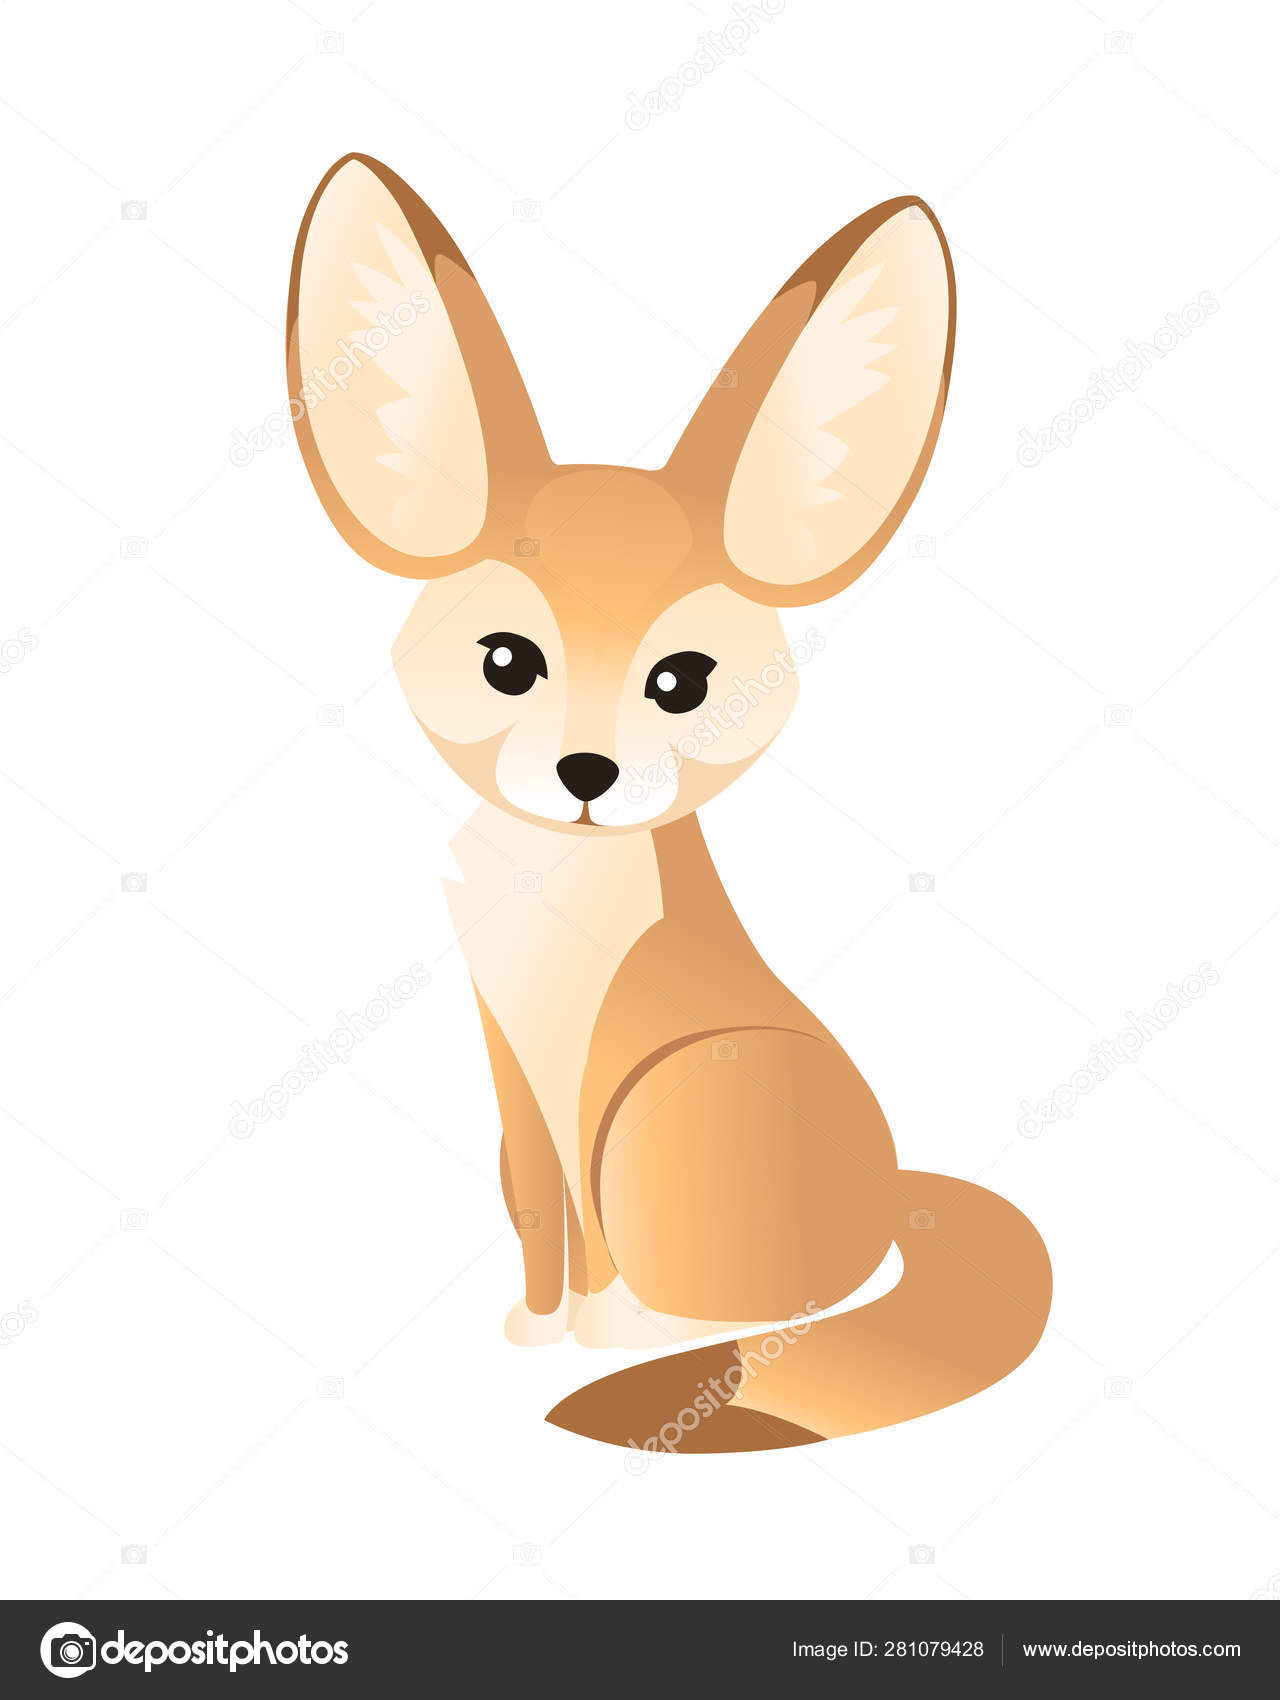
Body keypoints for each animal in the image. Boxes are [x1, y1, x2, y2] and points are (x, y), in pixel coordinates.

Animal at [286, 153, 1051, 1453]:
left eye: (680, 682)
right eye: (506, 662)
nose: (586, 776)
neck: (548, 895)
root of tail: (894, 1192)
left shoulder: (607, 1057)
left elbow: (590, 1228)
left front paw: (595, 1335)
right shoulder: (505, 1046)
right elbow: (537, 1207)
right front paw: (534, 1326)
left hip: (673, 1094)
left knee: (770, 1297)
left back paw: (663, 1330)